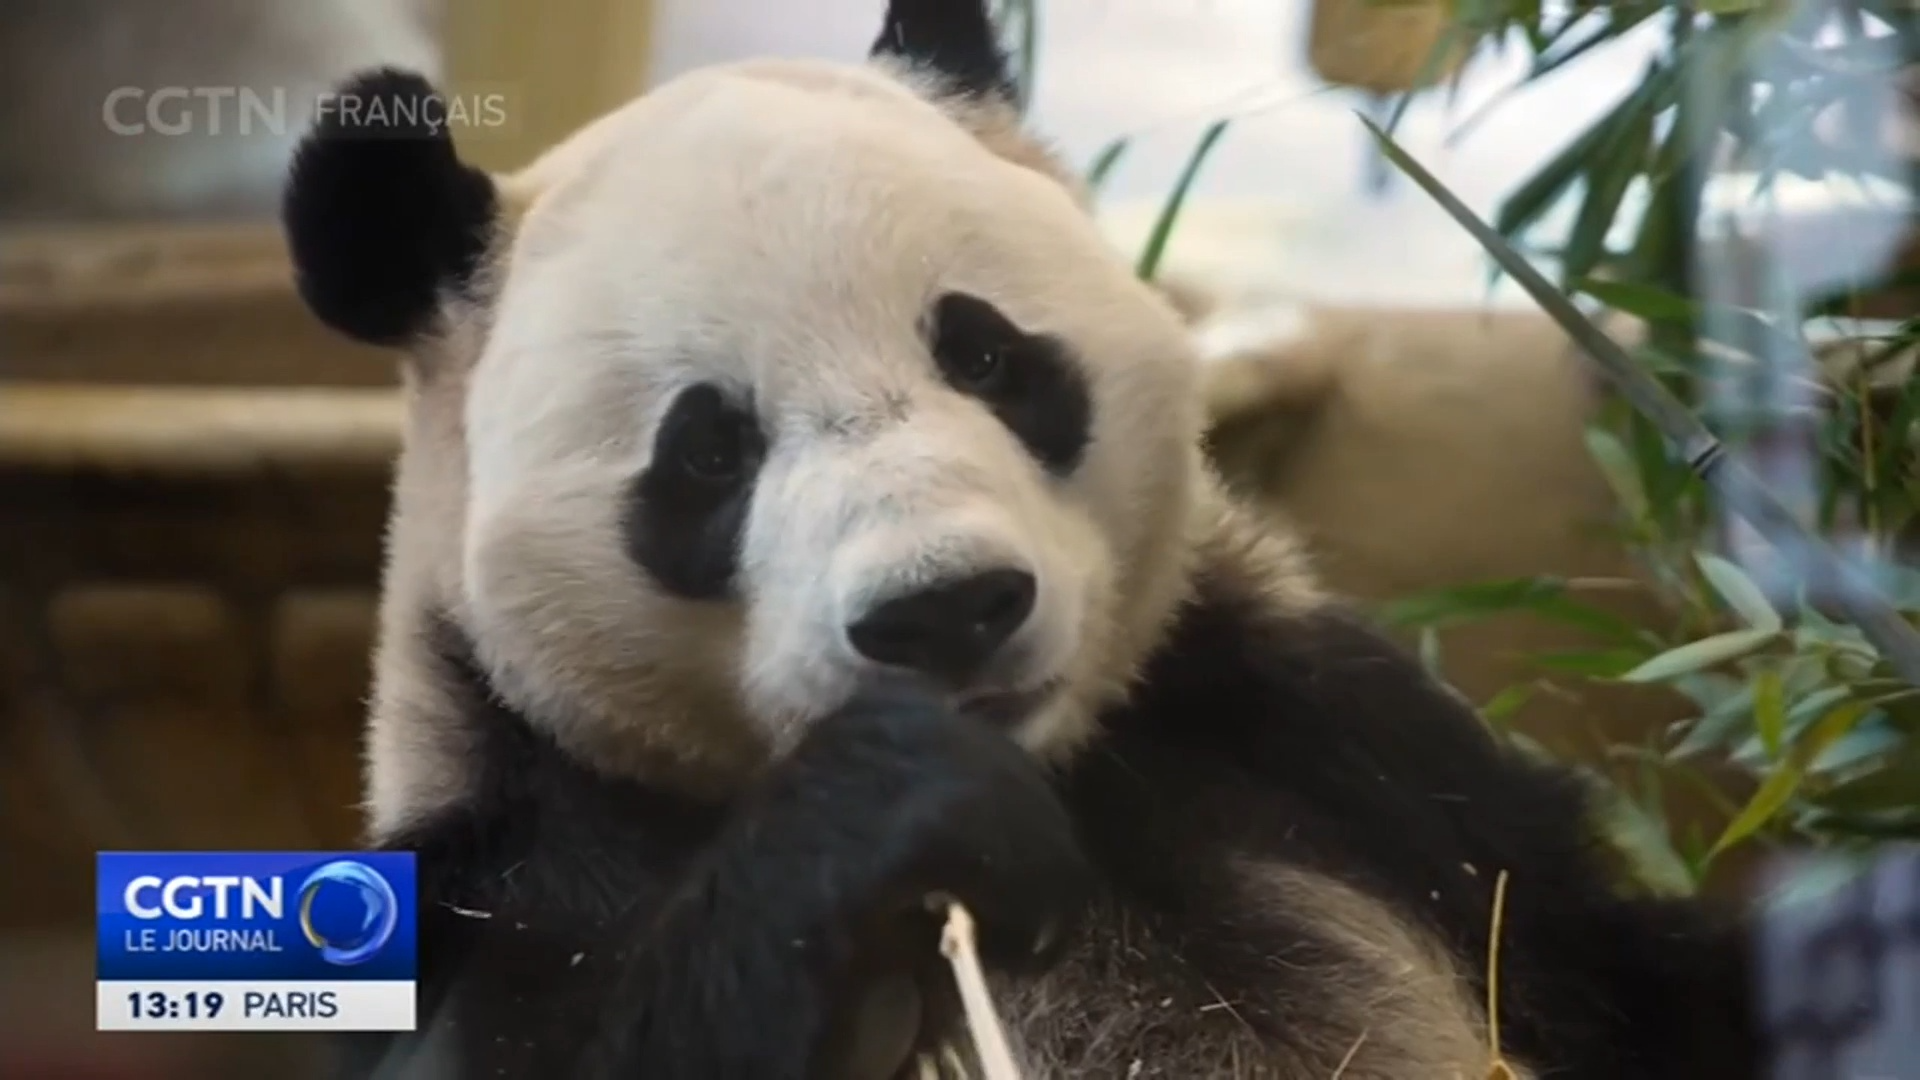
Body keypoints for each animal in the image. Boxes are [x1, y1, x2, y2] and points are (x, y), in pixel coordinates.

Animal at [281, 1, 1760, 1077]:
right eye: (708, 453)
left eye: (984, 354)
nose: (944, 609)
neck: (1058, 779)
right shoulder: (510, 872)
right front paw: (898, 812)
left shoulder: (1321, 737)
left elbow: (1623, 963)